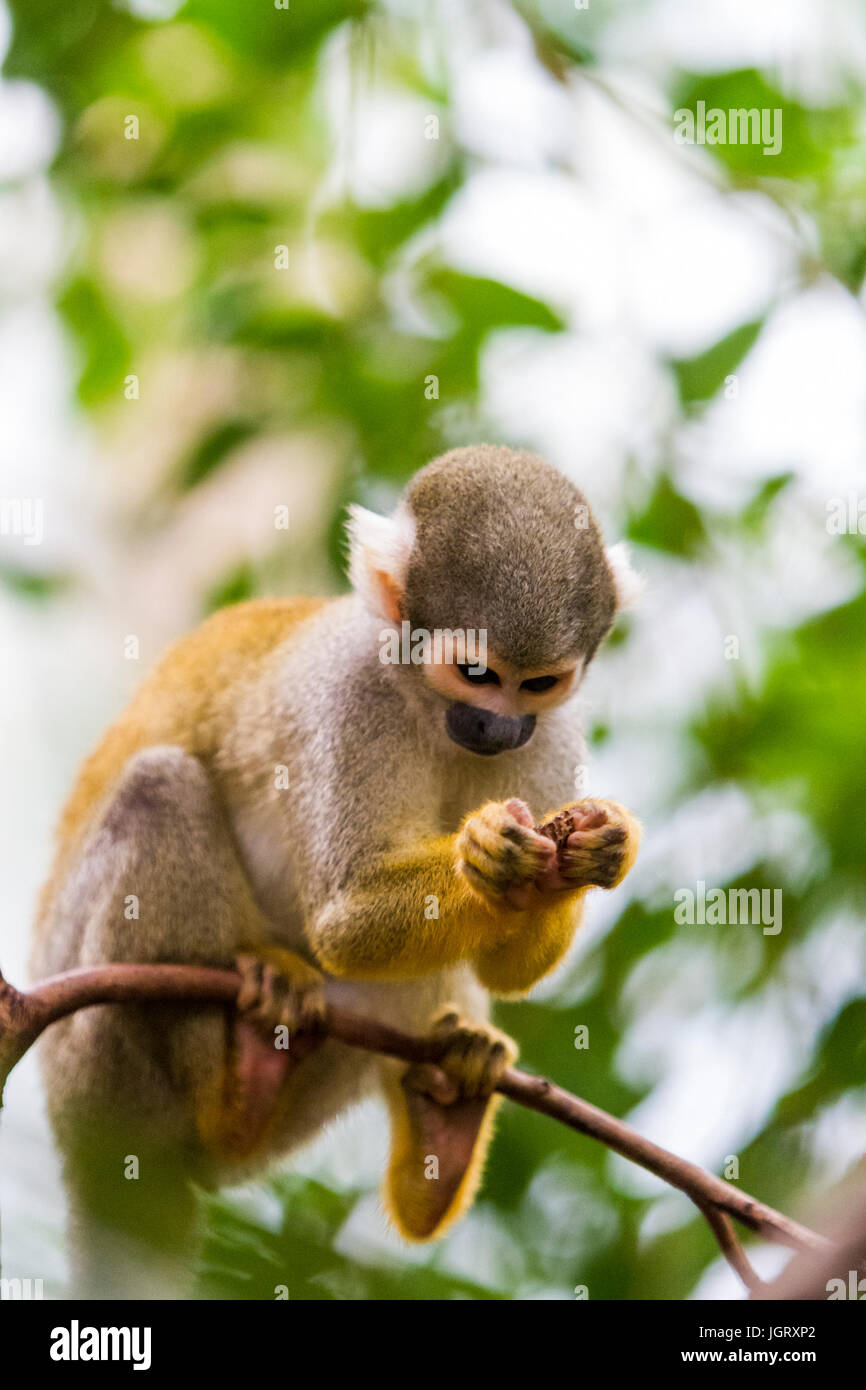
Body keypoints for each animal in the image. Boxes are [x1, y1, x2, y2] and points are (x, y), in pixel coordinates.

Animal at [30, 443, 641, 1298]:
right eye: (477, 674)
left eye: (539, 682)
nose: (498, 729)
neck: (426, 704)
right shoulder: (353, 695)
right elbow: (346, 921)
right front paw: (484, 858)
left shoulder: (551, 730)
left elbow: (507, 966)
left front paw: (578, 859)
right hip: (82, 1058)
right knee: (156, 787)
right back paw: (241, 1066)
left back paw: (440, 1121)